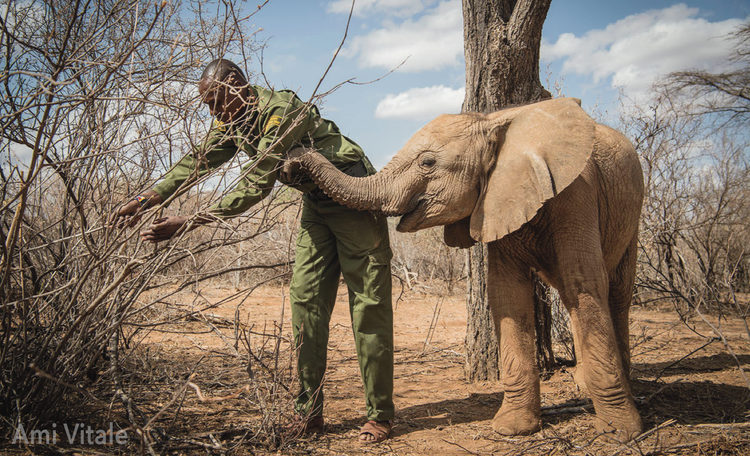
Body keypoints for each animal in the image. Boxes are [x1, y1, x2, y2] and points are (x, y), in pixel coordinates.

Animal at [293, 97, 645, 438]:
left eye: (427, 163)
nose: (295, 157)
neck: (493, 124)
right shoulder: (498, 203)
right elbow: (508, 295)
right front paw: (512, 429)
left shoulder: (576, 196)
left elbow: (584, 286)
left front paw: (620, 433)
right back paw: (583, 385)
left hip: (632, 212)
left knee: (615, 293)